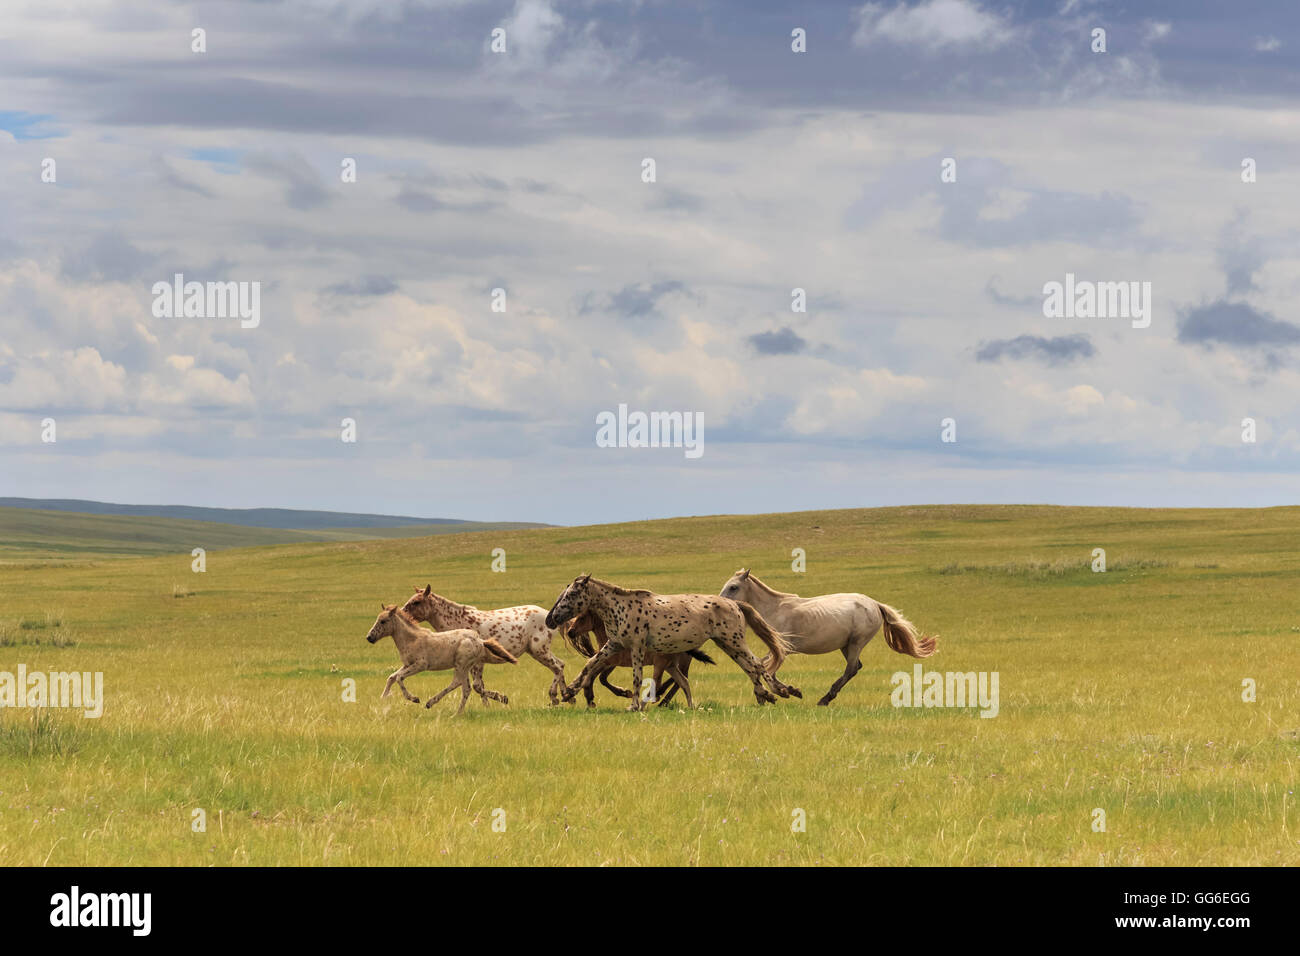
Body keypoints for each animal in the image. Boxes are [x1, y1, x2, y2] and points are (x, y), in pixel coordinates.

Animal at [365, 604, 517, 715]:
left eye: (383, 621)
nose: (369, 637)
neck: (411, 639)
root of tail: (480, 641)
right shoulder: (407, 665)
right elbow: (391, 677)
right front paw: (382, 700)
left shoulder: (420, 665)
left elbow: (399, 678)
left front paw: (414, 699)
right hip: (464, 666)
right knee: (463, 685)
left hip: (461, 665)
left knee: (463, 686)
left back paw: (449, 710)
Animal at [402, 585, 567, 705]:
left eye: (416, 602)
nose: (401, 613)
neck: (458, 621)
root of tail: (551, 616)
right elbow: (478, 686)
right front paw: (488, 706)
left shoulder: (477, 663)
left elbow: (477, 686)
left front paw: (502, 698)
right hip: (538, 651)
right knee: (561, 664)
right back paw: (566, 695)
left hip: (539, 650)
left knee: (557, 668)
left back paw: (555, 697)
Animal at [562, 608, 715, 708]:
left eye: (582, 617)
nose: (570, 632)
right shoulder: (608, 662)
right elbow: (595, 675)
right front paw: (578, 695)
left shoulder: (610, 662)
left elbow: (595, 676)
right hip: (670, 666)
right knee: (683, 681)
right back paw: (688, 705)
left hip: (661, 664)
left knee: (659, 683)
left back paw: (646, 703)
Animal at [718, 568, 937, 706]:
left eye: (733, 587)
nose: (719, 603)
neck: (775, 610)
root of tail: (875, 604)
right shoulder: (777, 649)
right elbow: (760, 666)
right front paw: (787, 691)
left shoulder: (784, 649)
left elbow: (766, 669)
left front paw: (783, 692)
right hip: (845, 646)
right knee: (855, 668)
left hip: (857, 642)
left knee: (851, 669)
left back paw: (825, 699)